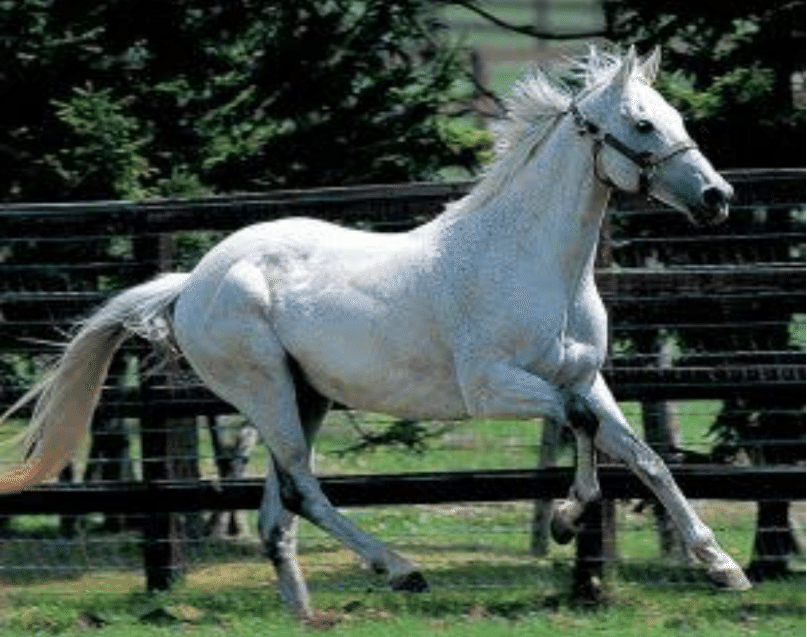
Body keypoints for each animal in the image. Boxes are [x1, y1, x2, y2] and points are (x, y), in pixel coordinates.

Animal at [0, 46, 751, 619]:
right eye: (642, 124)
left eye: (676, 117)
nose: (718, 198)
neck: (534, 262)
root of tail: (192, 281)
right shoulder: (495, 389)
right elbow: (584, 430)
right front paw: (567, 521)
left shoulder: (584, 378)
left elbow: (645, 458)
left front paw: (721, 566)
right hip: (266, 392)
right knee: (303, 491)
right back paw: (400, 569)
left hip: (302, 397)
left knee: (276, 517)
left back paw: (309, 615)